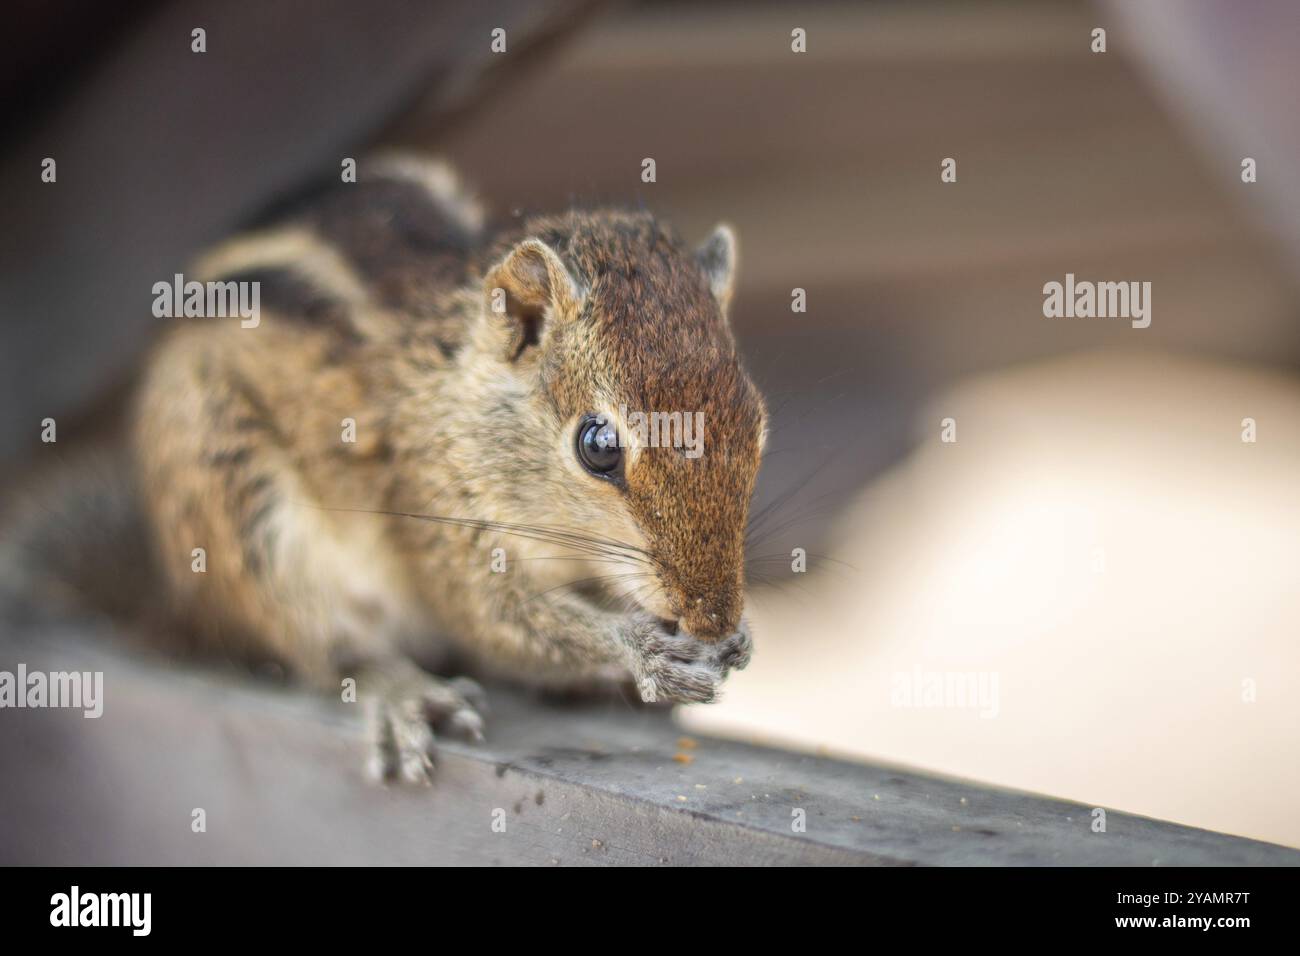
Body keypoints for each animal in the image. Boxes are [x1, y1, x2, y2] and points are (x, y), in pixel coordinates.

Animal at [0, 154, 768, 783]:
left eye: (758, 425)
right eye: (598, 445)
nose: (711, 617)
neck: (455, 389)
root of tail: (179, 604)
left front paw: (732, 643)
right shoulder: (439, 510)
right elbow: (498, 621)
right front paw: (640, 651)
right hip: (241, 514)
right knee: (329, 651)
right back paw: (401, 692)